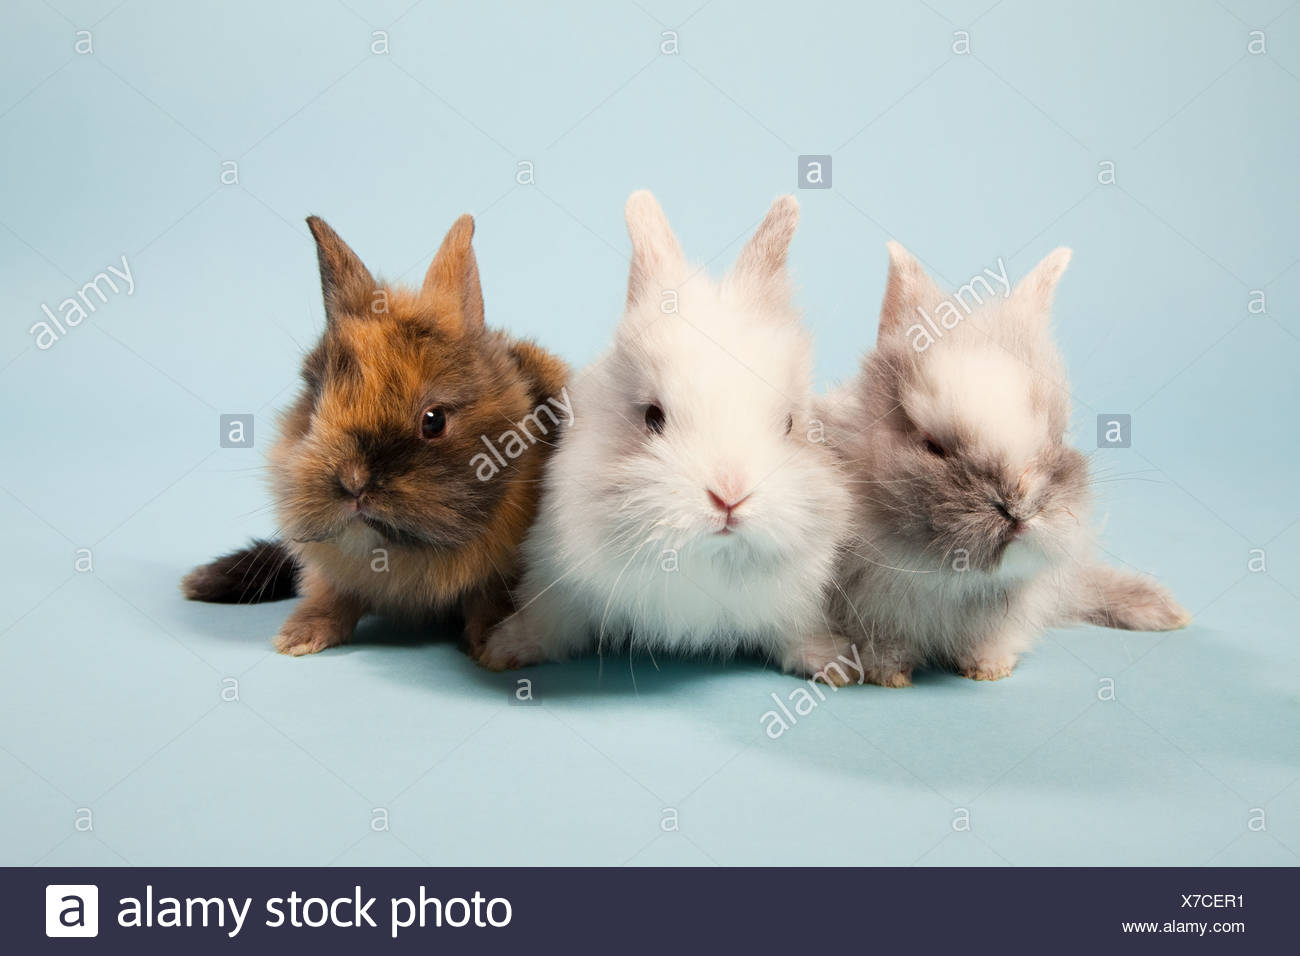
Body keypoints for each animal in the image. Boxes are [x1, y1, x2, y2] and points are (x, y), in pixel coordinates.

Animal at [182, 213, 570, 655]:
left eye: (434, 420)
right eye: (314, 405)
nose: (353, 481)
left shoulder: (502, 573)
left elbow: (488, 602)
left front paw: (494, 648)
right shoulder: (333, 576)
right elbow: (332, 597)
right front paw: (299, 638)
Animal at [475, 191, 859, 682]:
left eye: (790, 424)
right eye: (653, 416)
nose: (730, 495)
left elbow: (796, 630)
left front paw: (835, 664)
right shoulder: (556, 575)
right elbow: (548, 620)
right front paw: (503, 649)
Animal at [819, 241, 1191, 686]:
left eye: (1058, 437)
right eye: (932, 446)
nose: (1018, 509)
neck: (947, 581)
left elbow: (991, 642)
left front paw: (990, 670)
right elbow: (884, 645)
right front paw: (889, 677)